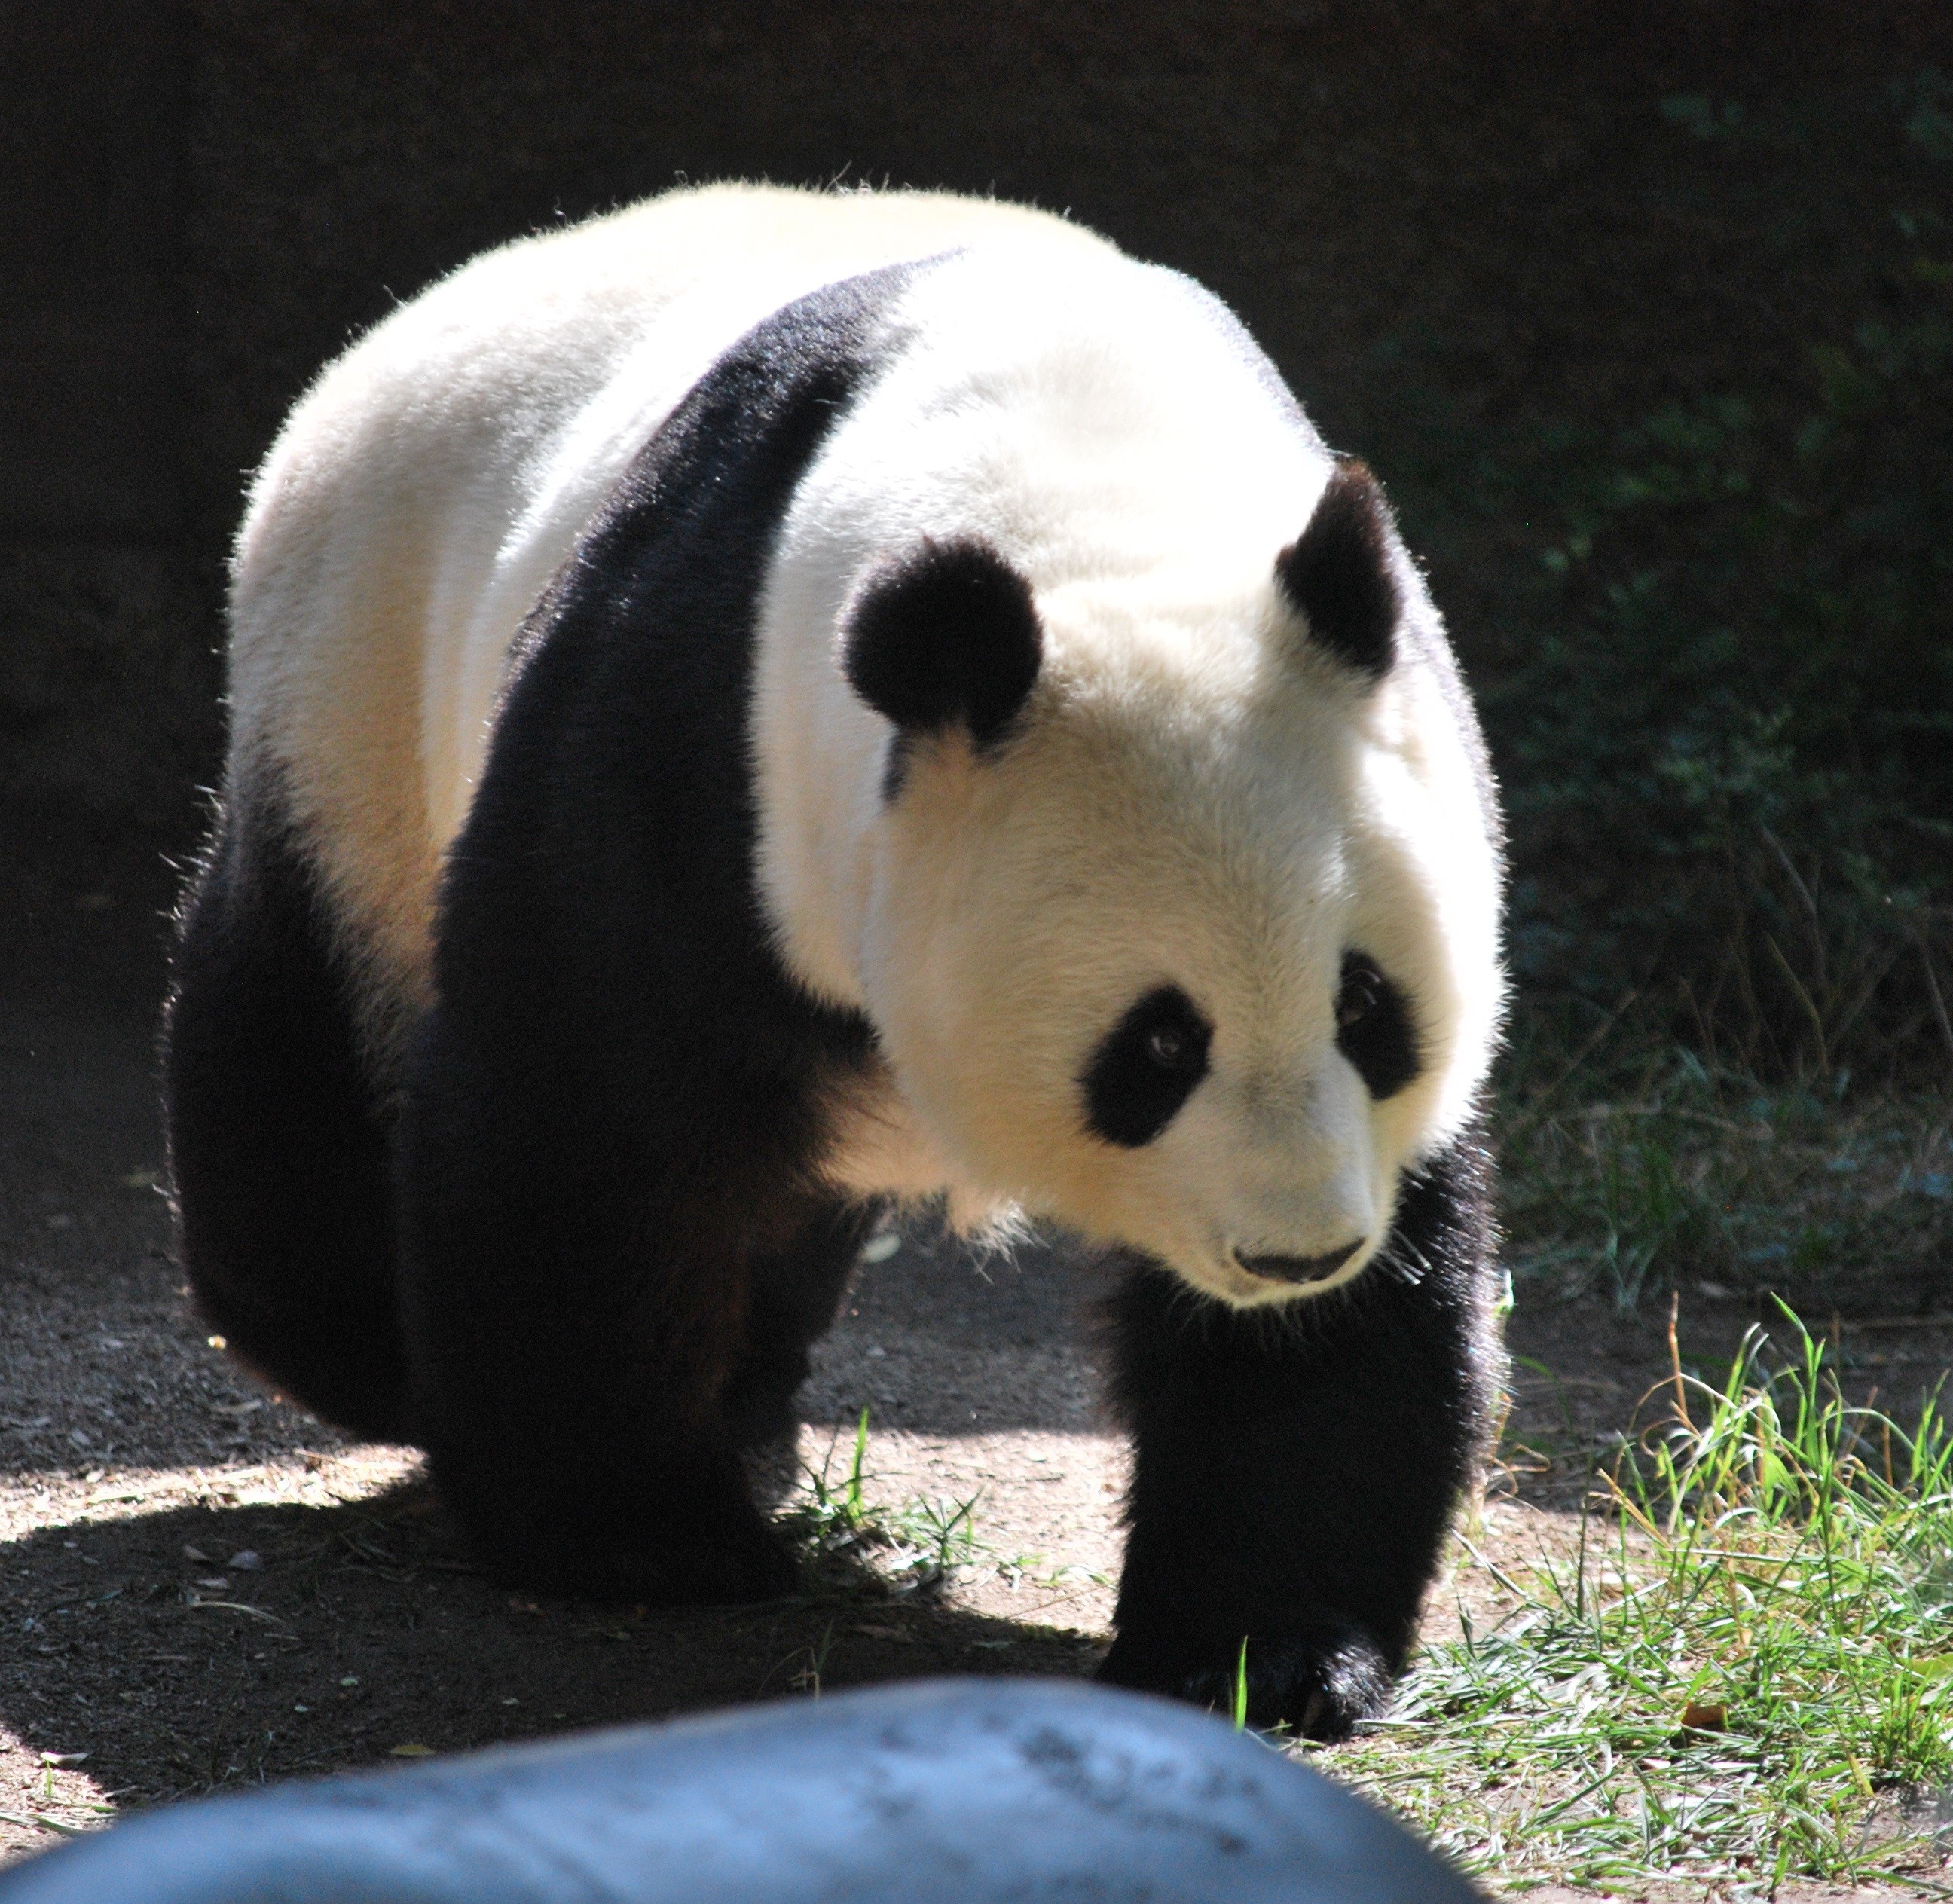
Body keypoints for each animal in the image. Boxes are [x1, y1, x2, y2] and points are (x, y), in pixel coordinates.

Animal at [163, 183, 1506, 1739]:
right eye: (1160, 1043)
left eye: (1367, 1005)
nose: (1297, 1250)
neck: (1092, 492)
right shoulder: (698, 730)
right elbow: (582, 1119)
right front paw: (637, 1533)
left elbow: (1355, 1321)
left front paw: (1259, 1648)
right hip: (357, 710)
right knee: (296, 1071)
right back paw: (380, 1349)